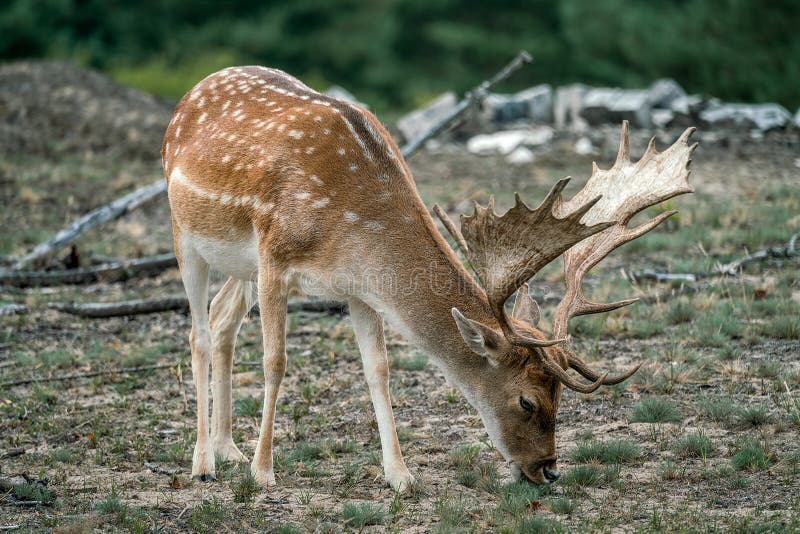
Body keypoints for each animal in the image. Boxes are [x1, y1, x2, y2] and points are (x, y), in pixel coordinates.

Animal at [162, 65, 696, 491]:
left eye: (560, 396)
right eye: (526, 402)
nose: (548, 469)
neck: (350, 229)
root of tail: (190, 93)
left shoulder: (357, 289)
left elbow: (378, 372)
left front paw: (400, 476)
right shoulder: (275, 256)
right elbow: (276, 362)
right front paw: (264, 471)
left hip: (240, 265)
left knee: (222, 319)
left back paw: (227, 447)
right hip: (186, 235)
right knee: (198, 334)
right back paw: (204, 462)